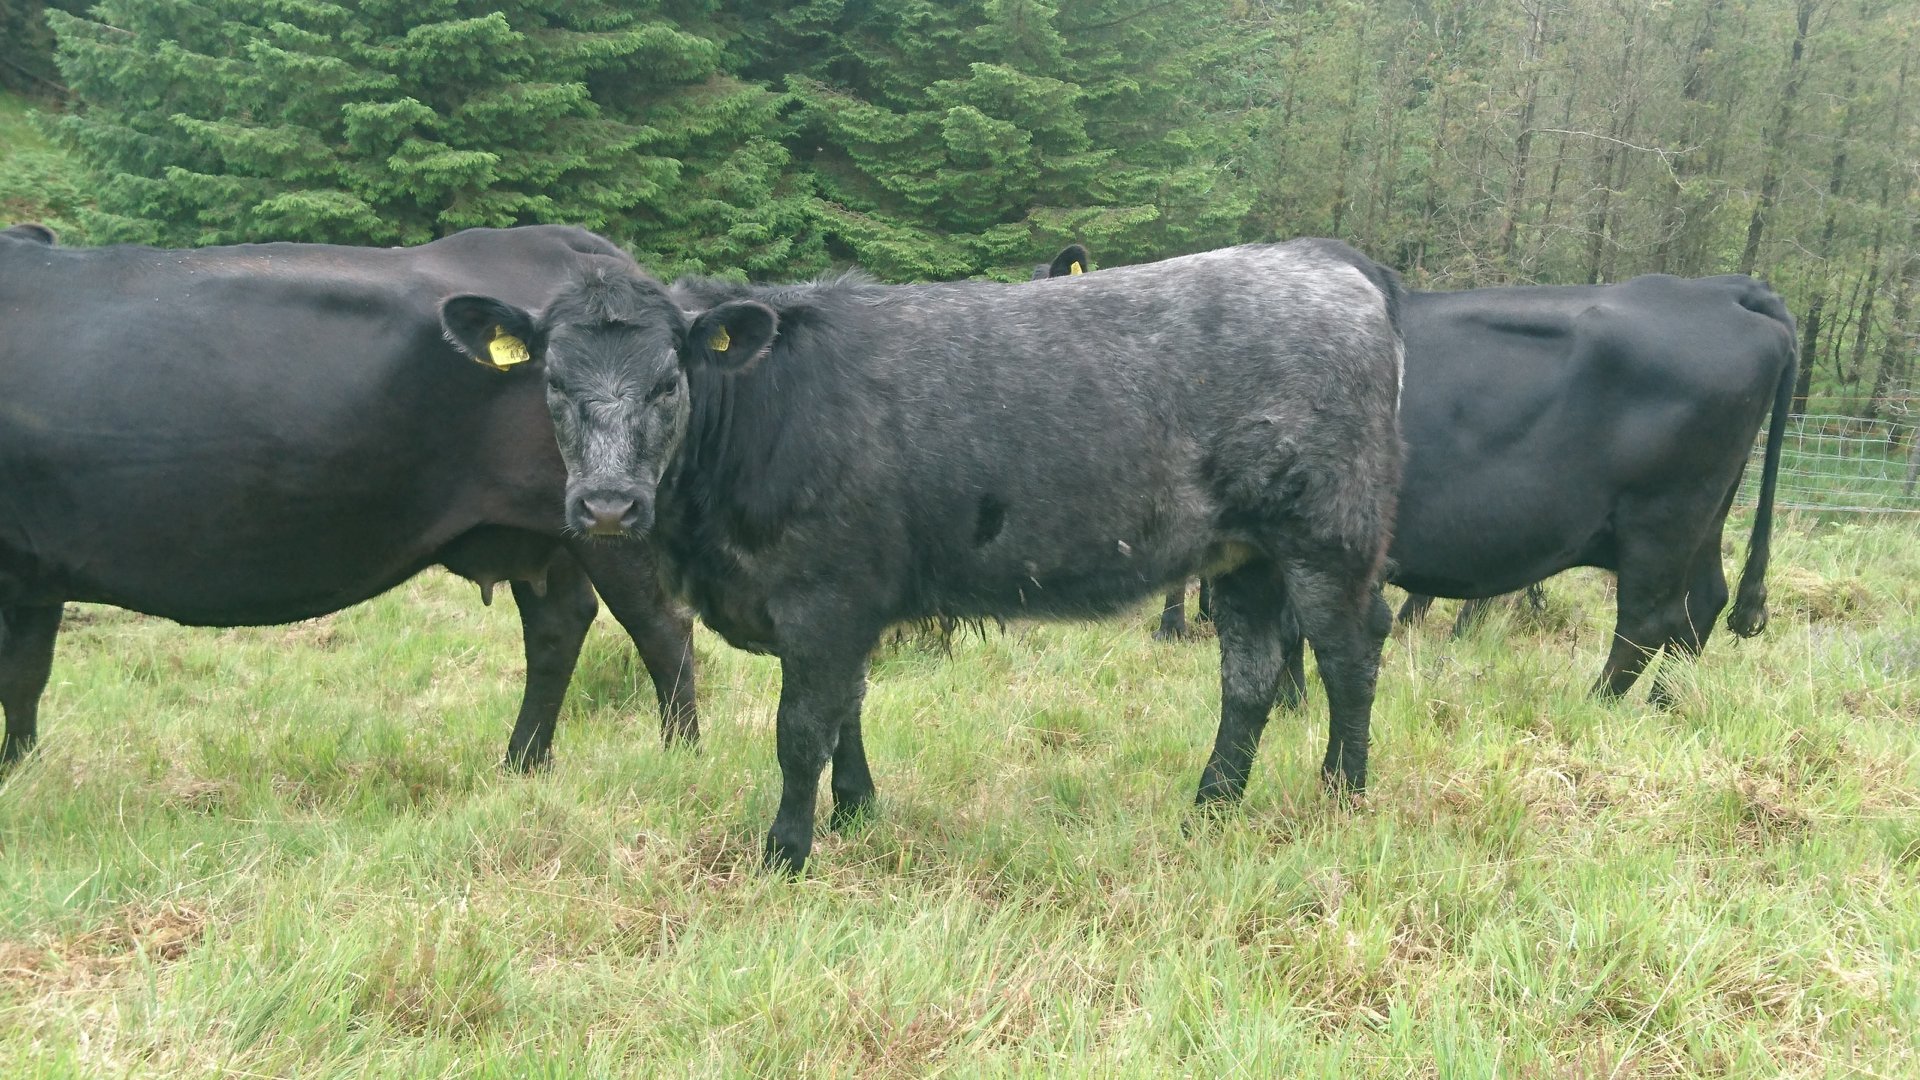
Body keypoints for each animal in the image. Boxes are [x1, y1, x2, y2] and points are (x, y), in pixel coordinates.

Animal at [0, 224, 697, 774]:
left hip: (610, 515)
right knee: (559, 625)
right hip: (548, 531)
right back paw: (522, 763)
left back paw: (679, 761)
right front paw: (21, 772)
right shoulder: (31, 573)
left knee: (661, 625)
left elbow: (18, 676)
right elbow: (25, 675)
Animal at [437, 240, 1407, 873]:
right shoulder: (849, 600)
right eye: (552, 382)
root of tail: (1326, 259)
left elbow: (801, 731)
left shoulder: (822, 597)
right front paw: (858, 813)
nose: (607, 506)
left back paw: (1342, 796)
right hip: (1243, 554)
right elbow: (848, 715)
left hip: (1329, 538)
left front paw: (786, 852)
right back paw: (1210, 807)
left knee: (1350, 656)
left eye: (669, 380)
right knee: (1250, 675)